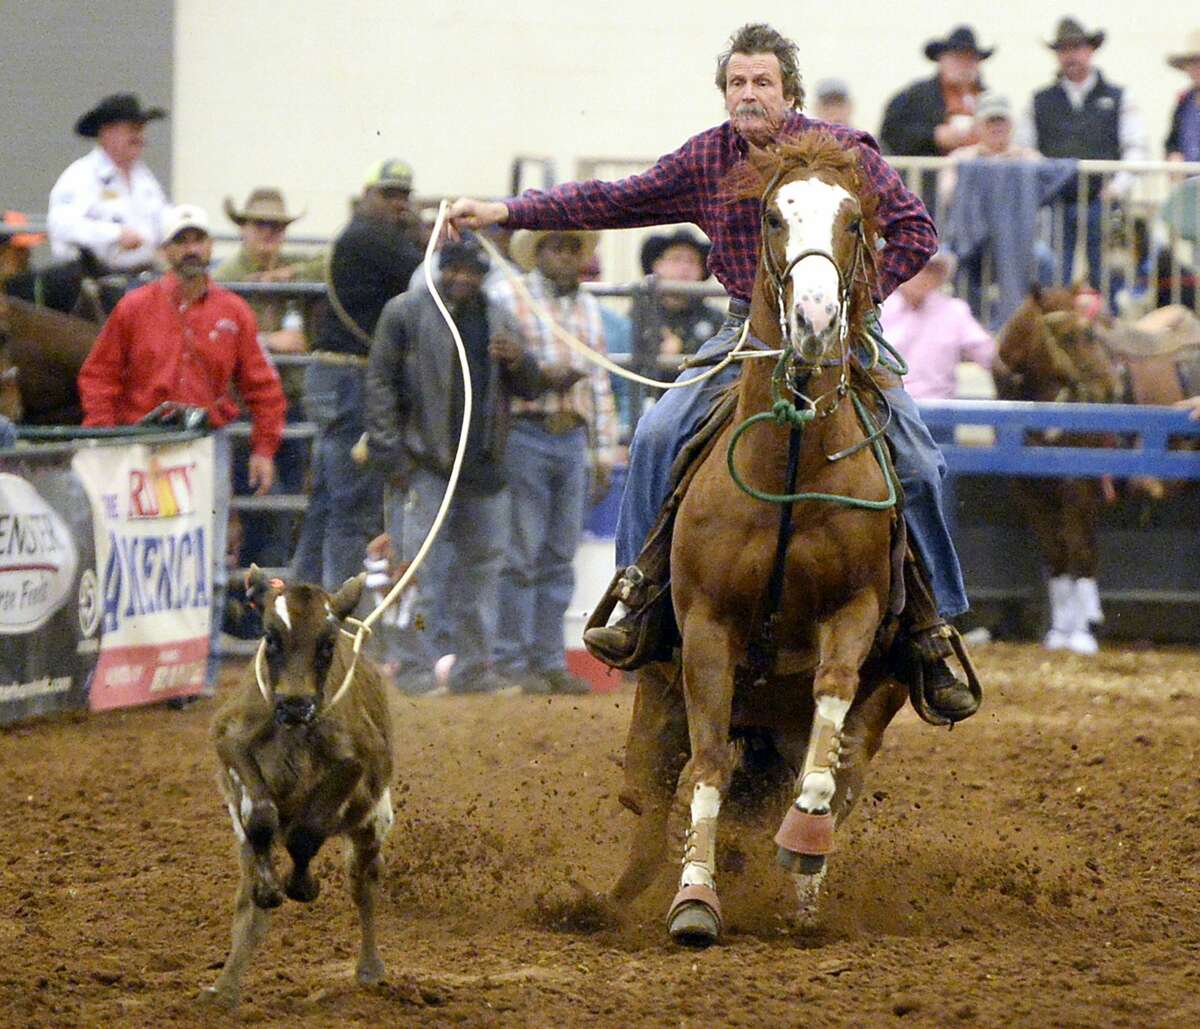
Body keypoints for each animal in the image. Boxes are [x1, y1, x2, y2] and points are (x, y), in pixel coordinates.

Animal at [200, 566, 395, 1009]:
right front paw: (271, 888)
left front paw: (302, 884)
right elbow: (260, 817)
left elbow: (307, 834)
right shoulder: (231, 741)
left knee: (364, 884)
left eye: (327, 643)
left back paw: (370, 967)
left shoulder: (356, 763)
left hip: (372, 823)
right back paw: (226, 985)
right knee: (249, 904)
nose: (294, 703)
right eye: (271, 637)